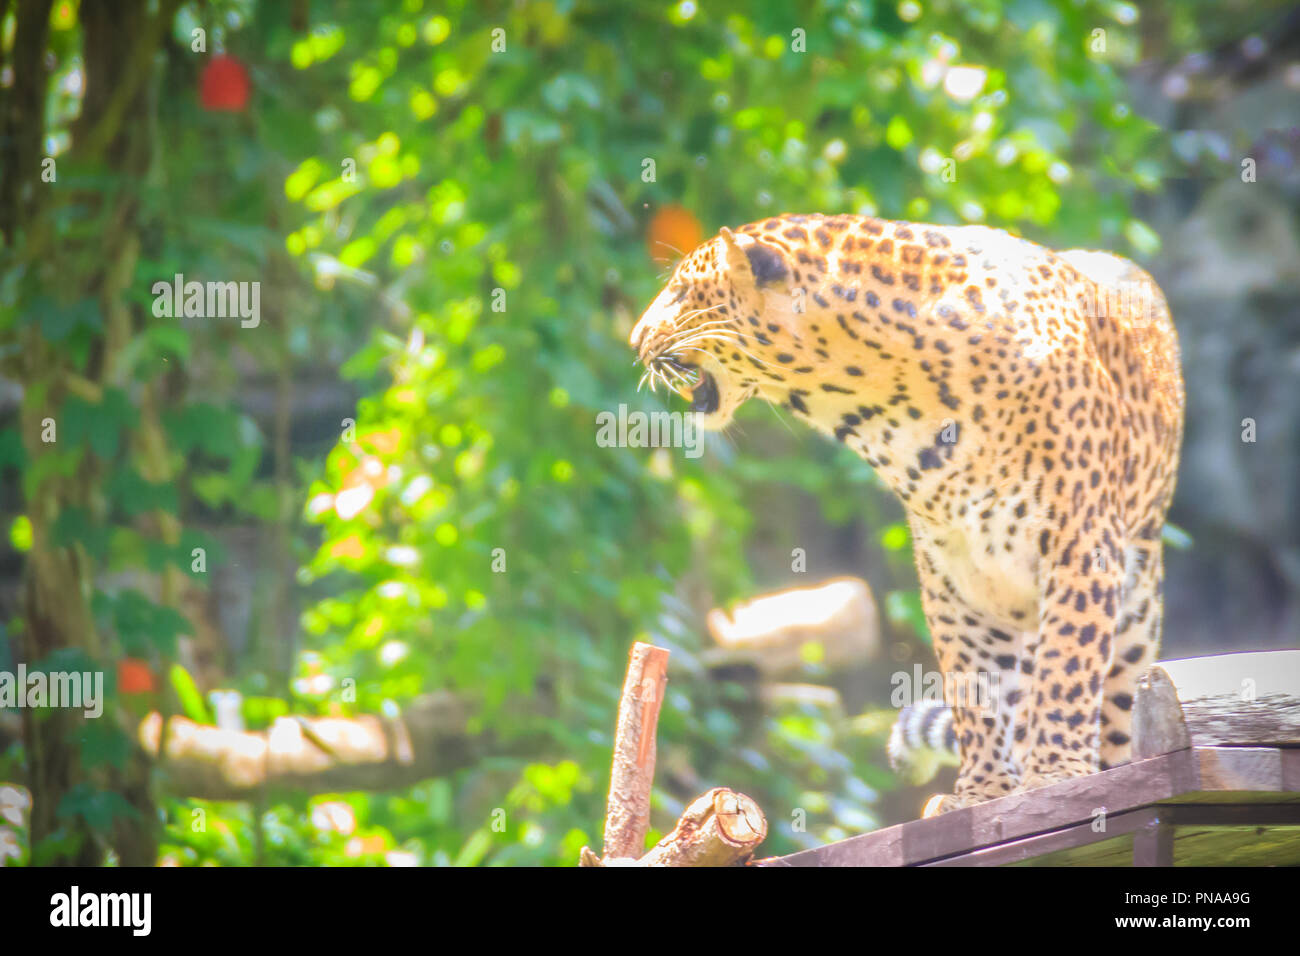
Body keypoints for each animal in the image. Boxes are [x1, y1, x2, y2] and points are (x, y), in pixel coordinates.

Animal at [630, 213, 1185, 816]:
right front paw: (982, 792)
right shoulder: (955, 571)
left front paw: (1055, 773)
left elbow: (1068, 664)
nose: (634, 340)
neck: (884, 403)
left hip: (1137, 607)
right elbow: (975, 683)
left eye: (682, 291)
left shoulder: (1080, 543)